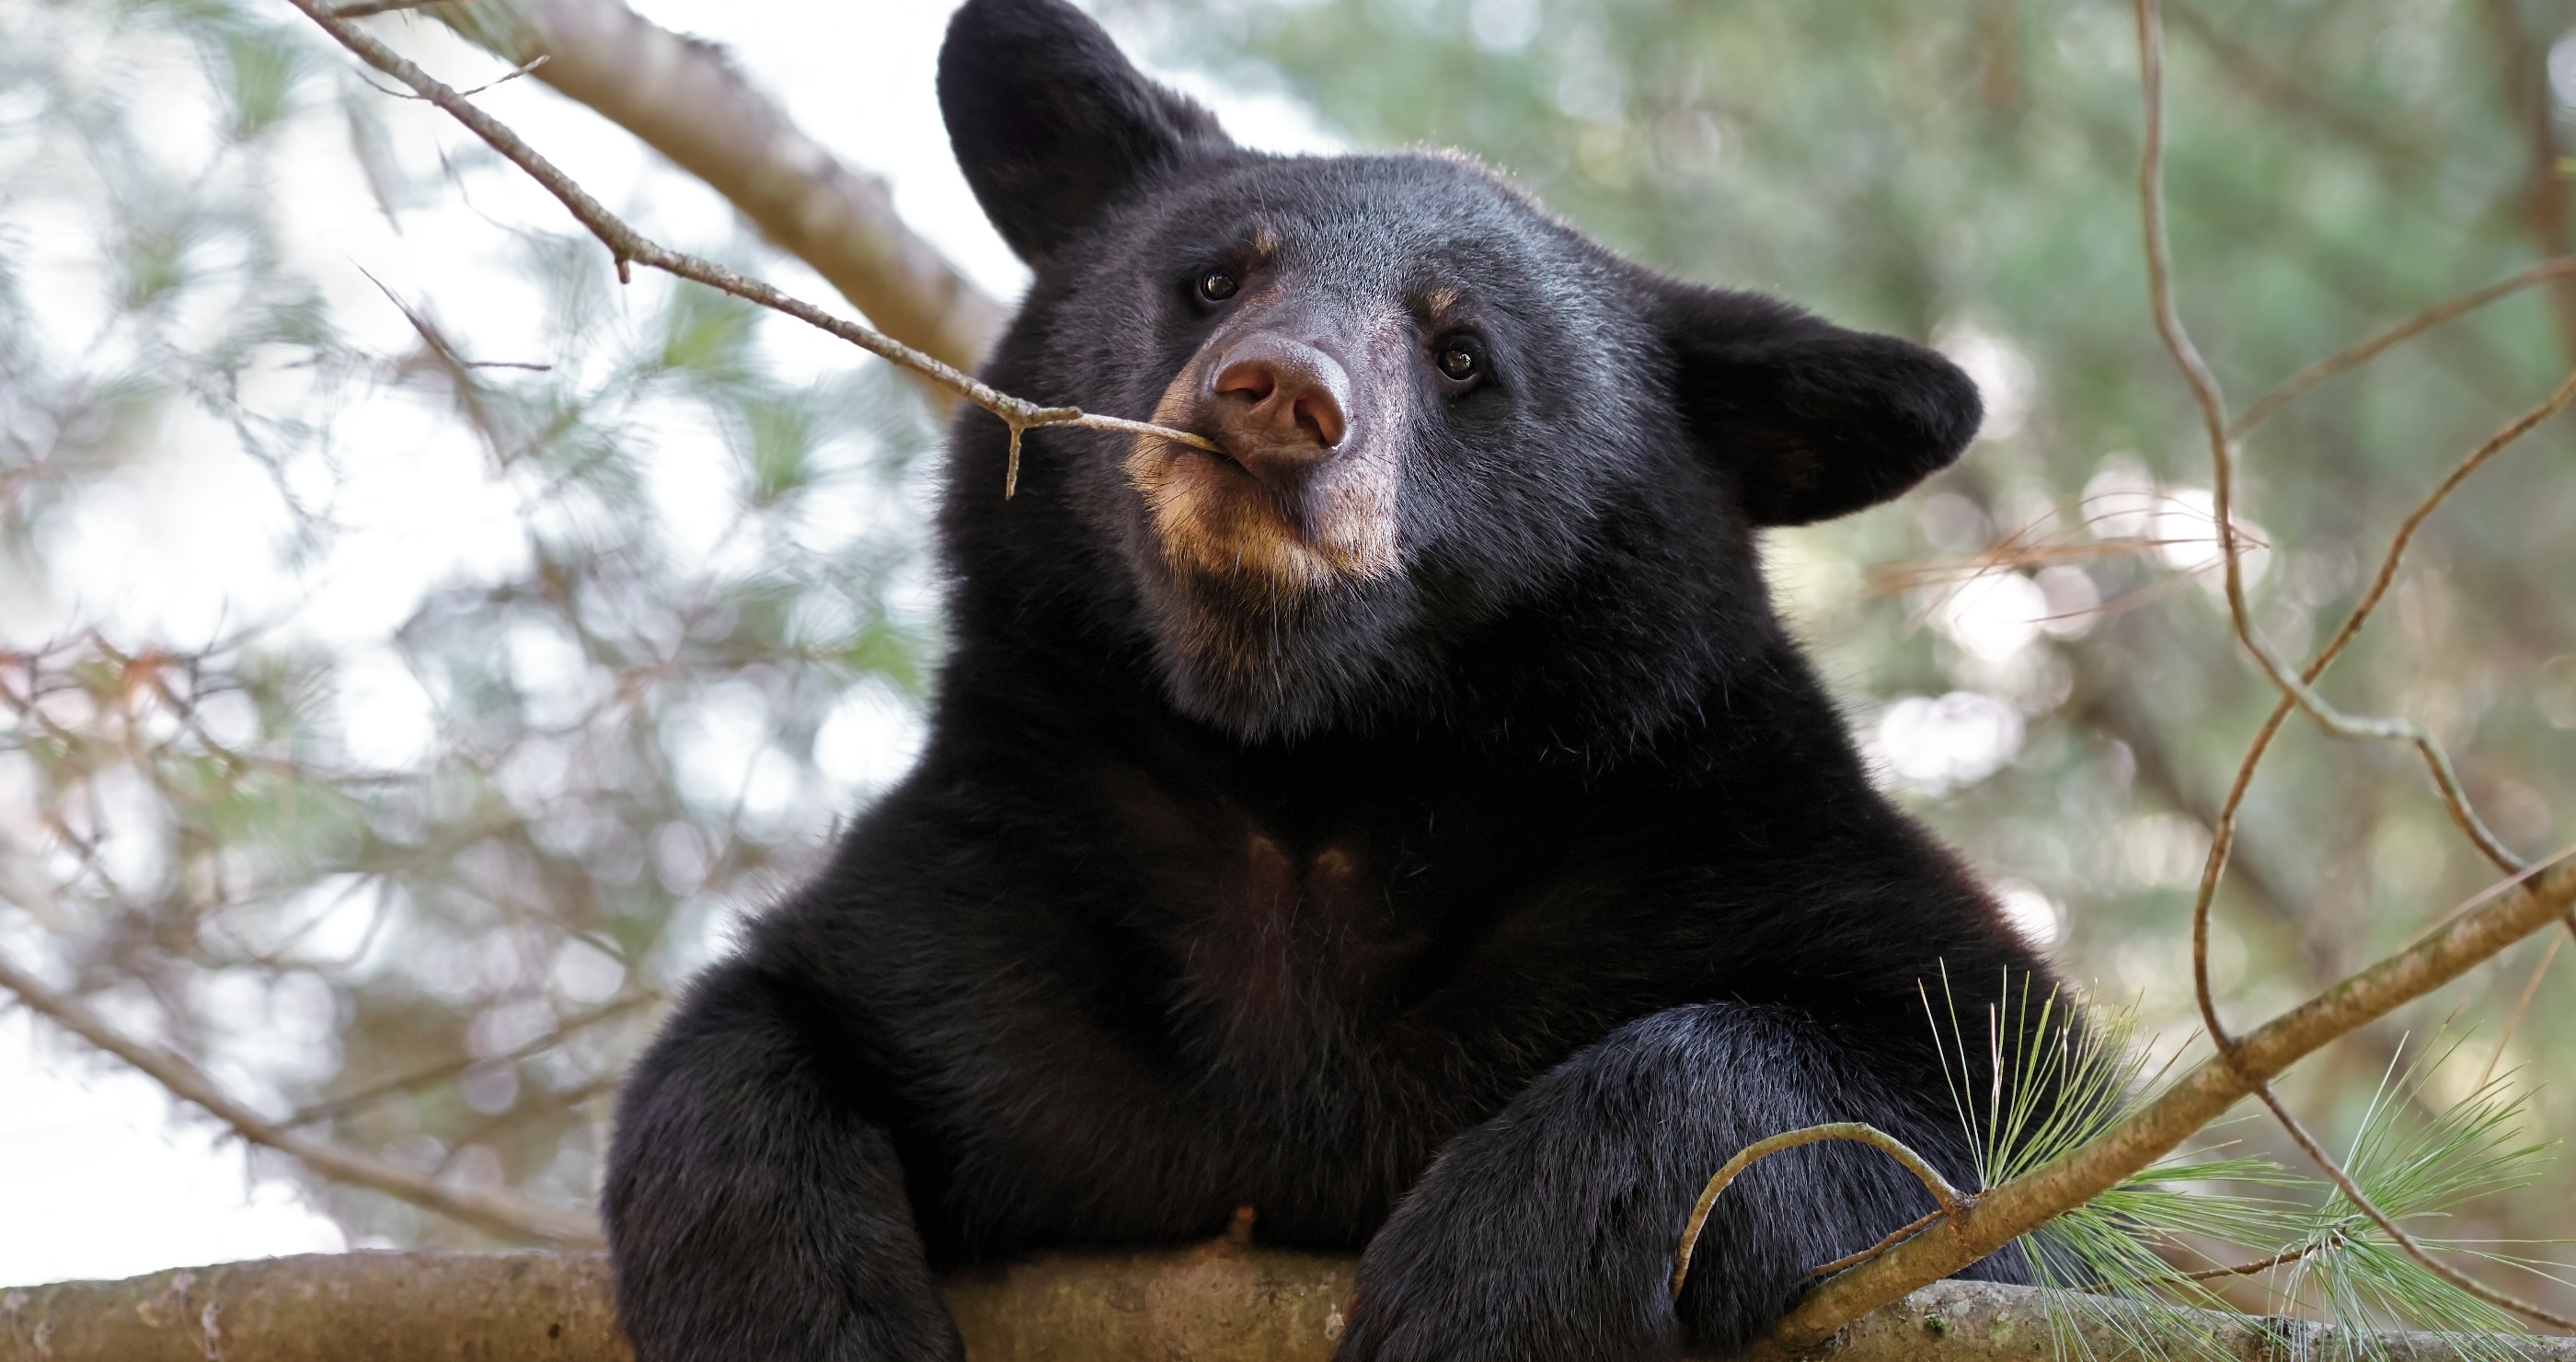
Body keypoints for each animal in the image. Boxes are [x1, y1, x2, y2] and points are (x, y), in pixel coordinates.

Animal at [600, 0, 2058, 1358]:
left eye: (1462, 353)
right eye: (1212, 279)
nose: (1275, 393)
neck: (1305, 768)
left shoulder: (1706, 830)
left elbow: (1965, 1109)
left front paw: (1494, 1287)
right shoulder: (996, 890)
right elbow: (761, 1023)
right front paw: (801, 1315)